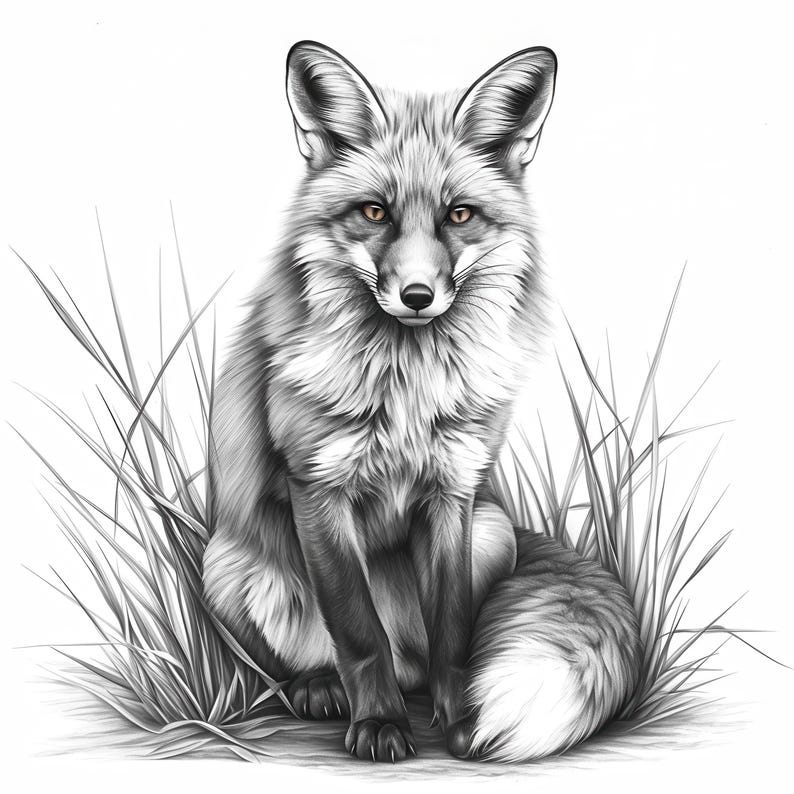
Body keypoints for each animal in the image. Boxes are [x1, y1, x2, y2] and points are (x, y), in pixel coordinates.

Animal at [202, 40, 641, 763]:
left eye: (458, 215)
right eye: (374, 212)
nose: (415, 296)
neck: (404, 392)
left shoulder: (454, 490)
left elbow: (454, 632)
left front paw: (461, 718)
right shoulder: (317, 488)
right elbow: (358, 632)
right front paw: (378, 723)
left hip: (493, 533)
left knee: (425, 652)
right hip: (230, 569)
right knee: (318, 658)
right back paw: (322, 688)